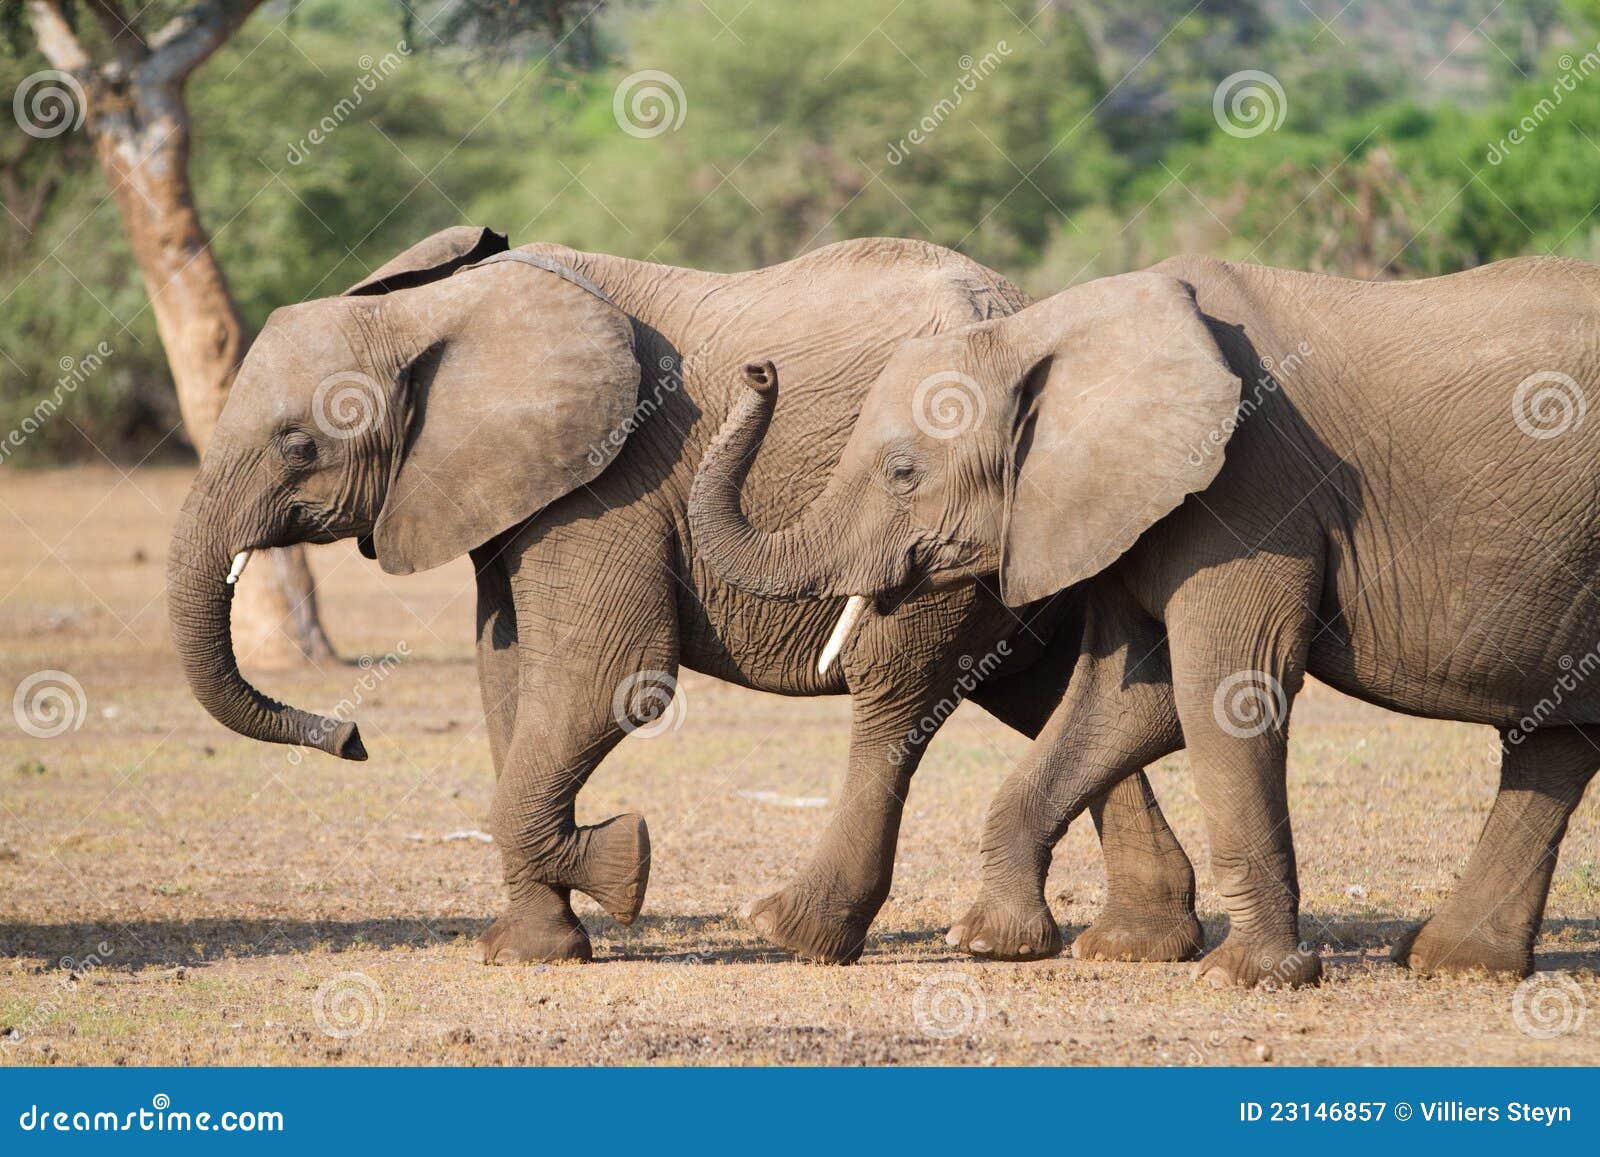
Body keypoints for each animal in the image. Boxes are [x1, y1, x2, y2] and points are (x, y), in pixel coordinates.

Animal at [165, 226, 1207, 966]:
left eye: (297, 443)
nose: (350, 738)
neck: (443, 311)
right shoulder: (517, 495)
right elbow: (508, 677)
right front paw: (535, 946)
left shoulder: (611, 480)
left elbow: (606, 679)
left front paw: (622, 865)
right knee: (1047, 688)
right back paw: (1136, 943)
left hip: (930, 515)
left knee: (896, 691)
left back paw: (797, 933)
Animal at [689, 255, 1600, 986]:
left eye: (902, 471)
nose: (761, 370)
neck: (1041, 334)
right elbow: (1127, 701)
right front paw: (995, 943)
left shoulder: (1251, 490)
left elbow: (1226, 689)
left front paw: (1248, 978)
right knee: (1556, 740)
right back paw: (1455, 962)